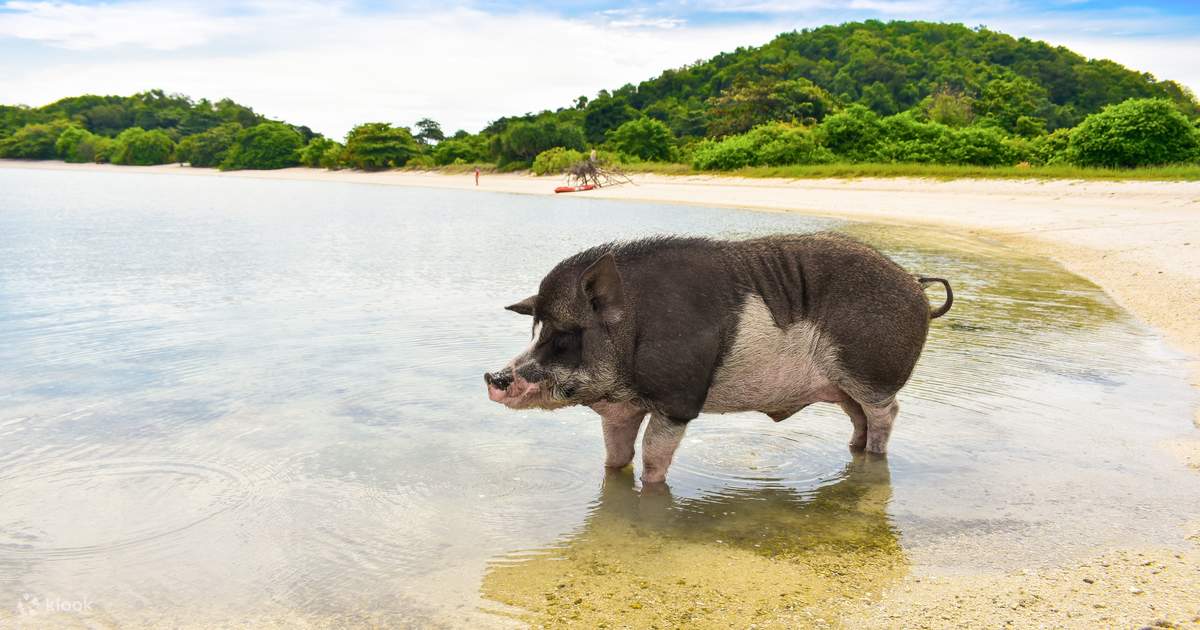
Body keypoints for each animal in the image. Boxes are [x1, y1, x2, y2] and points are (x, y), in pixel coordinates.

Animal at [484, 233, 952, 484]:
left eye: (565, 337)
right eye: (536, 332)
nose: (493, 377)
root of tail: (918, 288)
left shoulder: (679, 400)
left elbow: (653, 457)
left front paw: (652, 490)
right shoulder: (621, 410)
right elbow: (615, 457)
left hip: (871, 373)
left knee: (886, 411)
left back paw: (874, 456)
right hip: (841, 387)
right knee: (859, 418)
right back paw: (856, 452)